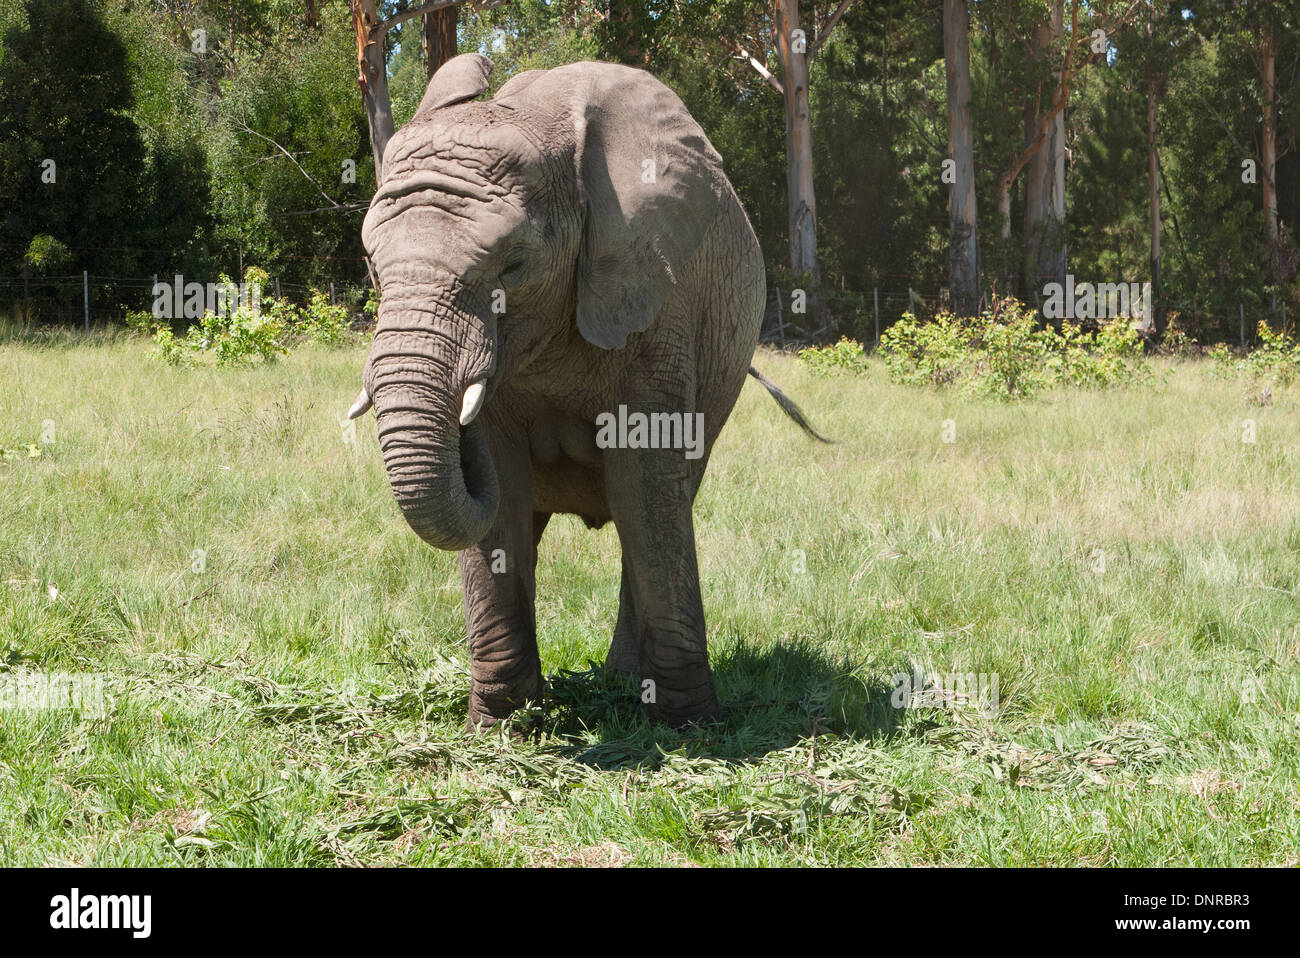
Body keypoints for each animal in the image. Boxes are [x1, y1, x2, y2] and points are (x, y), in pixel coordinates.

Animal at [348, 53, 825, 730]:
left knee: (659, 506)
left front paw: (692, 727)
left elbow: (644, 487)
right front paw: (500, 726)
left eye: (513, 263)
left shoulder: (658, 301)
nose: (462, 420)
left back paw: (625, 681)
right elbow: (505, 496)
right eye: (370, 261)